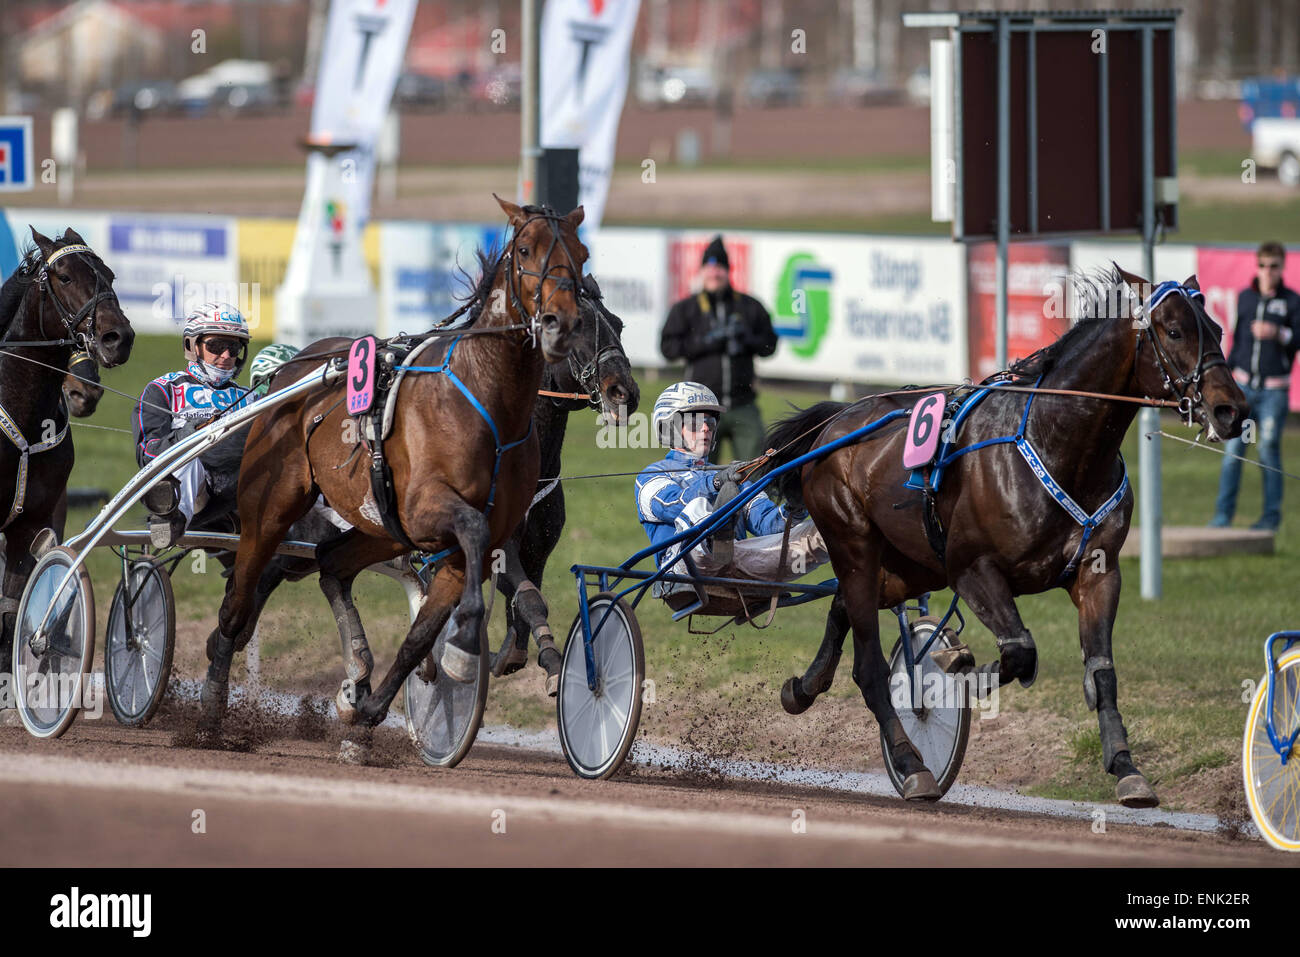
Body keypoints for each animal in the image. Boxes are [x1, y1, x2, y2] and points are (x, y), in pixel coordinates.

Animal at [196, 196, 587, 747]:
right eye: (527, 249)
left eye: (582, 254)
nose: (561, 322)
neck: (490, 402)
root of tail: (292, 370)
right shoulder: (430, 511)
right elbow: (471, 528)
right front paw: (464, 650)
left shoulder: (461, 543)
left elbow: (419, 635)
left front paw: (371, 707)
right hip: (270, 506)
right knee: (238, 602)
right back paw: (211, 706)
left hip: (379, 527)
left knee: (332, 563)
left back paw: (357, 671)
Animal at [758, 266, 1249, 806]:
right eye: (1175, 331)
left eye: (1218, 329)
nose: (1232, 410)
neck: (1054, 443)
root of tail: (835, 422)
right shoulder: (972, 569)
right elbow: (1019, 650)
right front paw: (955, 674)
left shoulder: (1099, 573)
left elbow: (1102, 670)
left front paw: (1126, 767)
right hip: (856, 546)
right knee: (868, 666)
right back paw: (911, 763)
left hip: (910, 565)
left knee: (843, 605)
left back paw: (803, 688)